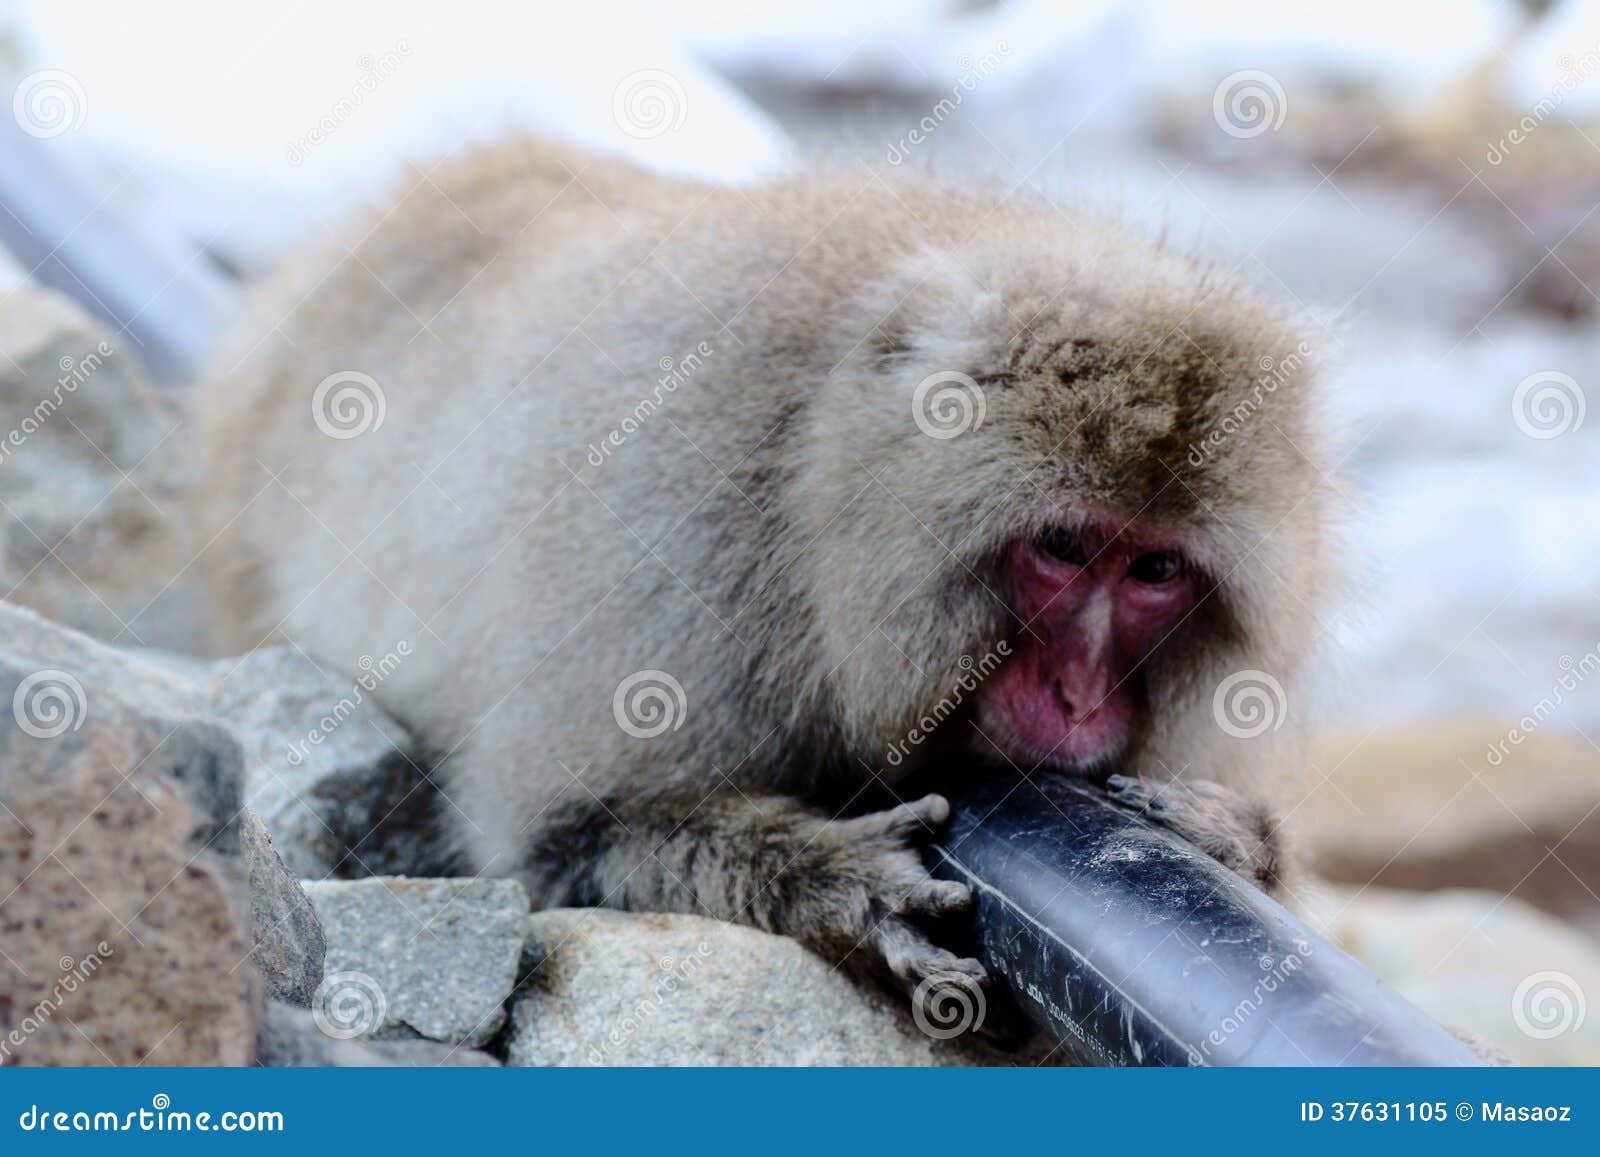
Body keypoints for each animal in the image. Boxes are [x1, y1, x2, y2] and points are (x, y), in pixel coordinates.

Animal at [196, 135, 1330, 1011]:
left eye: (1154, 568)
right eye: (1061, 547)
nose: (1081, 691)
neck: (820, 490)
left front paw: (1238, 845)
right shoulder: (685, 531)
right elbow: (559, 839)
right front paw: (832, 880)